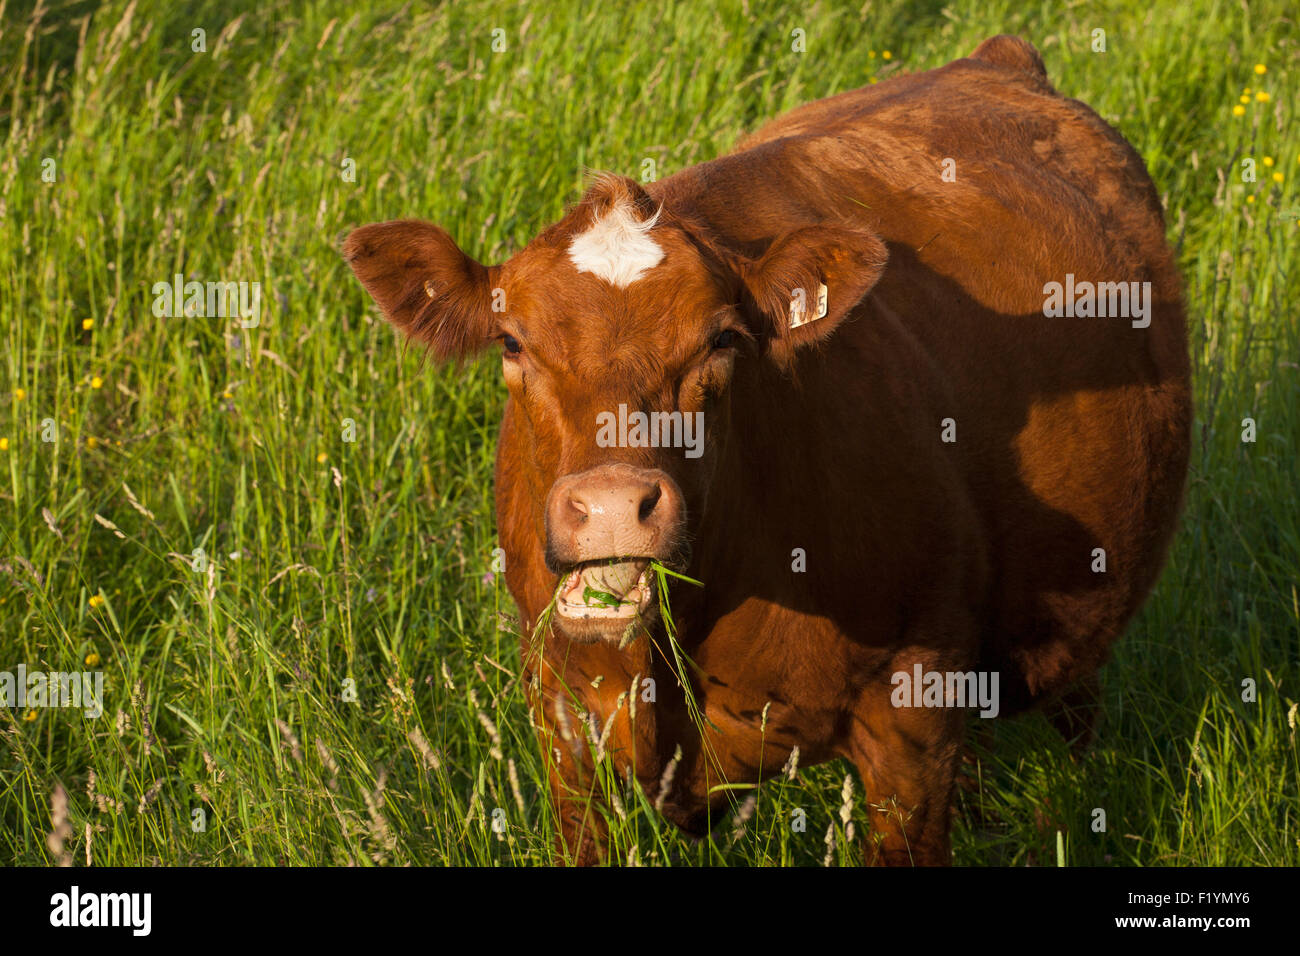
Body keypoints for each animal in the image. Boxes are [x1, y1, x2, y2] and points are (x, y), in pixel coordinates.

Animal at [343, 35, 1192, 865]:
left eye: (722, 339)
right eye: (512, 342)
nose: (615, 508)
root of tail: (994, 58)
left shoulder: (912, 718)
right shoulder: (562, 716)